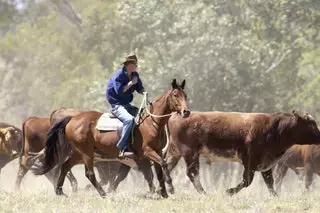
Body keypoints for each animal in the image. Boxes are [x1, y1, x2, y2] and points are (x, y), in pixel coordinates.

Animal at [34, 79, 190, 197]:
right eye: (175, 95)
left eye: (185, 95)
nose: (186, 112)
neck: (151, 123)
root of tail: (72, 119)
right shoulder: (146, 152)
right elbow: (161, 166)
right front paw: (170, 187)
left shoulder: (155, 152)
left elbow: (158, 171)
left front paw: (163, 192)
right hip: (86, 153)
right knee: (89, 173)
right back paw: (103, 193)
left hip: (78, 153)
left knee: (65, 166)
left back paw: (59, 191)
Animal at [164, 110, 320, 196]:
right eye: (311, 125)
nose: (319, 135)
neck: (275, 129)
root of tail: (174, 115)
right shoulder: (250, 161)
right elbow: (247, 181)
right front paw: (229, 192)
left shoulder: (265, 163)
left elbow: (269, 183)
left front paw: (276, 197)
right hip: (190, 153)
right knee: (192, 173)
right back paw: (204, 193)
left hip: (175, 152)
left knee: (167, 166)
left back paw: (166, 191)